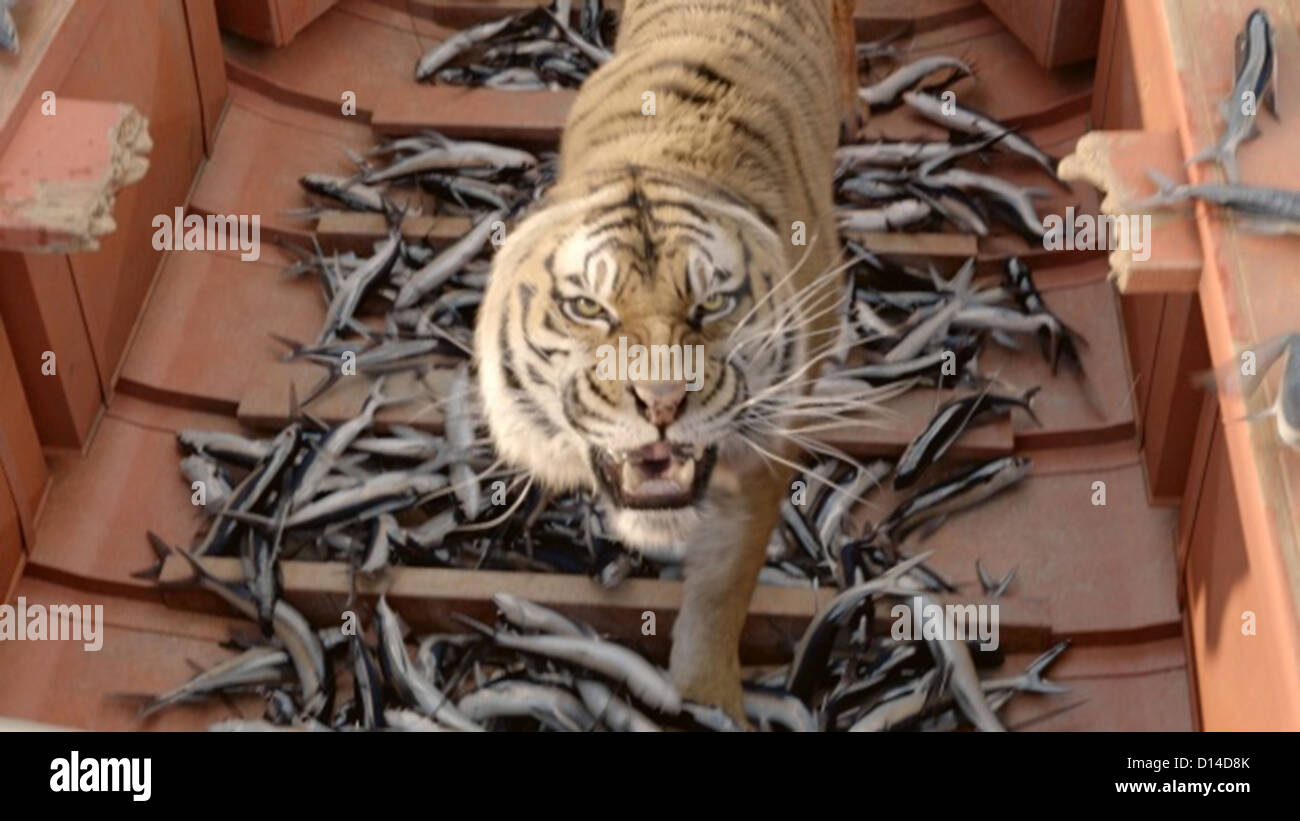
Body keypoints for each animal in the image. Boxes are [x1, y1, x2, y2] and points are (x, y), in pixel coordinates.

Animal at [475, 0, 852, 721]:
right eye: (588, 307)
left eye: (713, 303)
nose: (662, 401)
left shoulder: (764, 458)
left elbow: (724, 586)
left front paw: (711, 699)